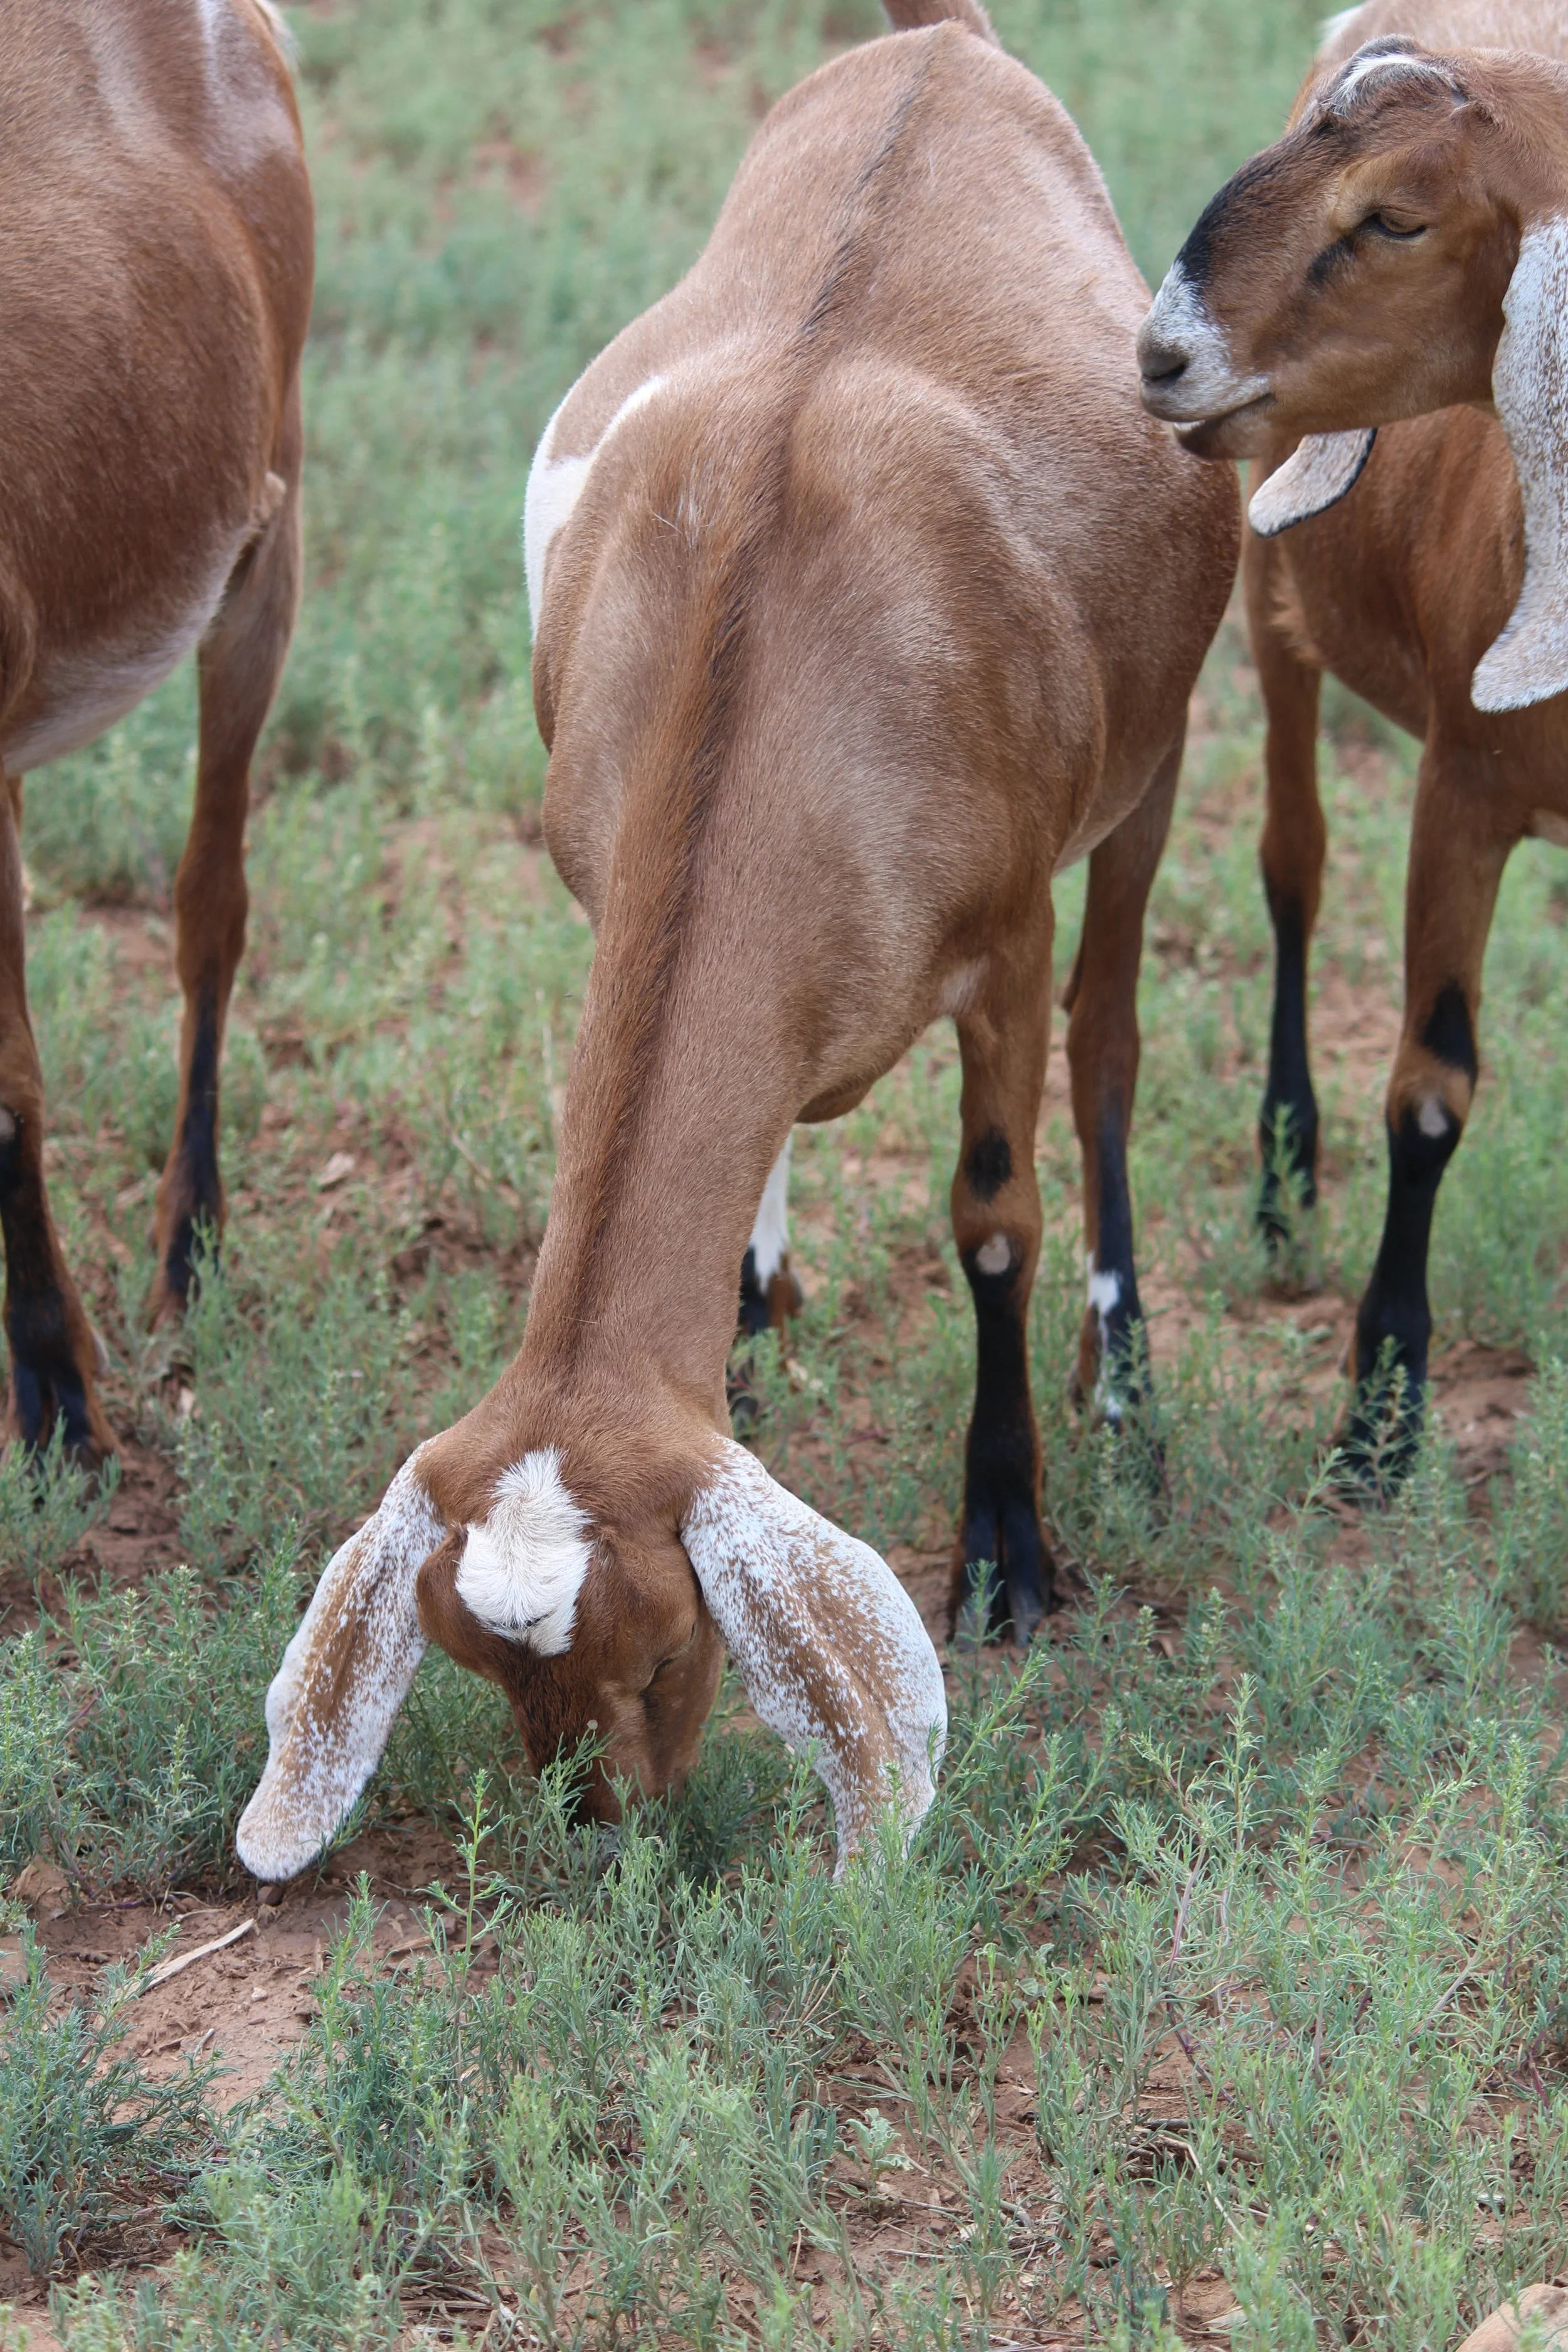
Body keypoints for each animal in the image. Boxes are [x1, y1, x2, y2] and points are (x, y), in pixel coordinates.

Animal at [236, 0, 1237, 1887]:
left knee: (1116, 1027)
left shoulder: (1002, 934)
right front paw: (747, 1331)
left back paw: (1125, 1368)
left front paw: (1009, 1546)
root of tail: (938, 40)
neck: (768, 605)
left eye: (660, 1646)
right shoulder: (600, 873)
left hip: (1149, 766)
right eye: (482, 1662)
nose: (603, 1825)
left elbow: (991, 1212)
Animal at [1137, 0, 1568, 1474]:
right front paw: (1380, 1410)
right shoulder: (1461, 782)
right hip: (1276, 607)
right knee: (1293, 866)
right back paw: (1285, 1180)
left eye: (1394, 218)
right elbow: (1430, 1092)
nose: (1160, 354)